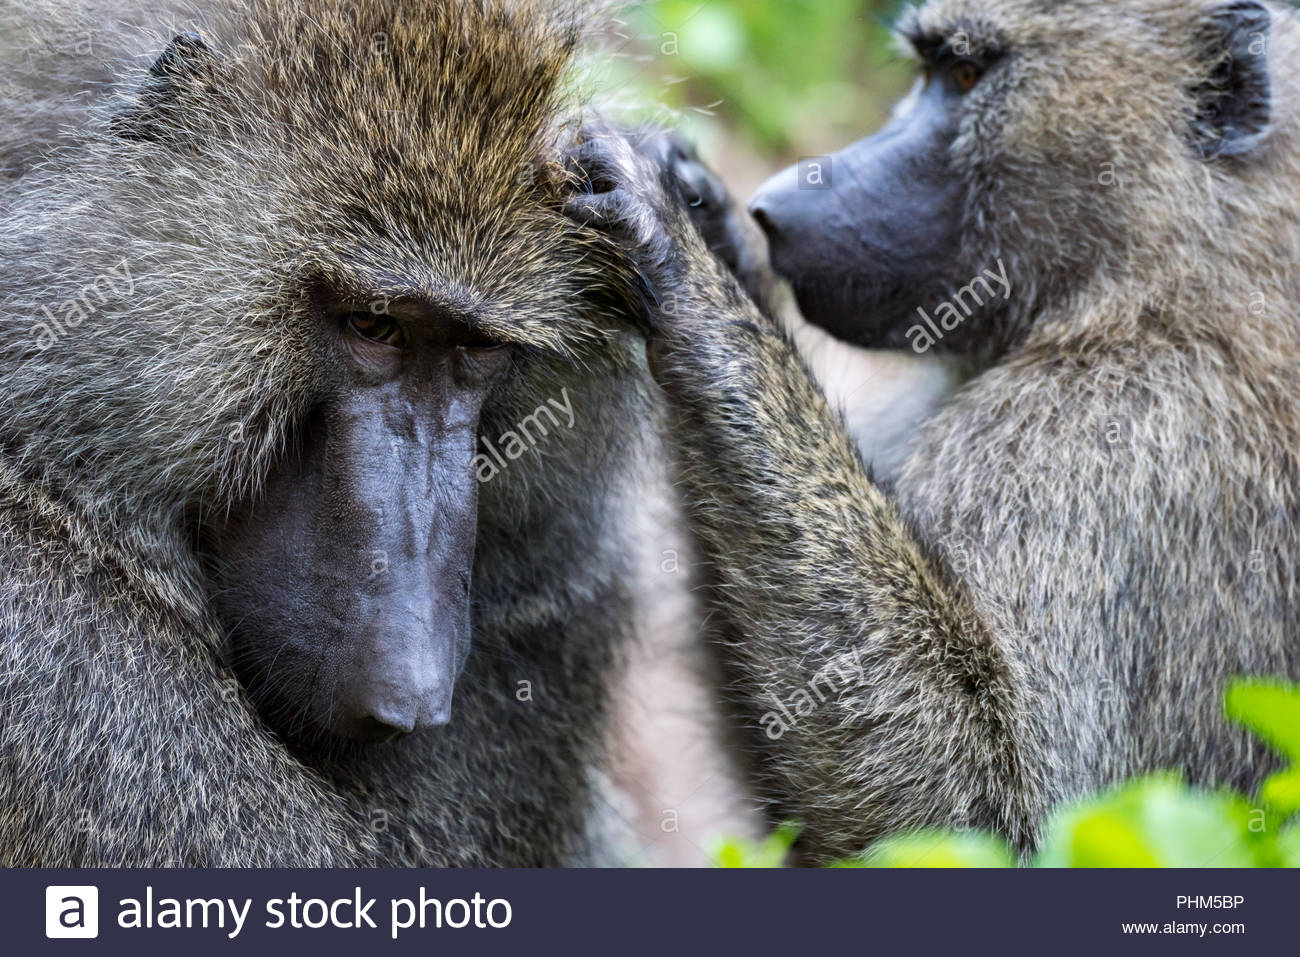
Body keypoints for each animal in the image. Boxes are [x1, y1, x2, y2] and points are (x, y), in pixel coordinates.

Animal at [566, 0, 1300, 862]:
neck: (1165, 268)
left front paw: (674, 247)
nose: (775, 205)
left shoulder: (1118, 433)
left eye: (967, 73)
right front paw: (704, 219)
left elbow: (986, 815)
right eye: (928, 70)